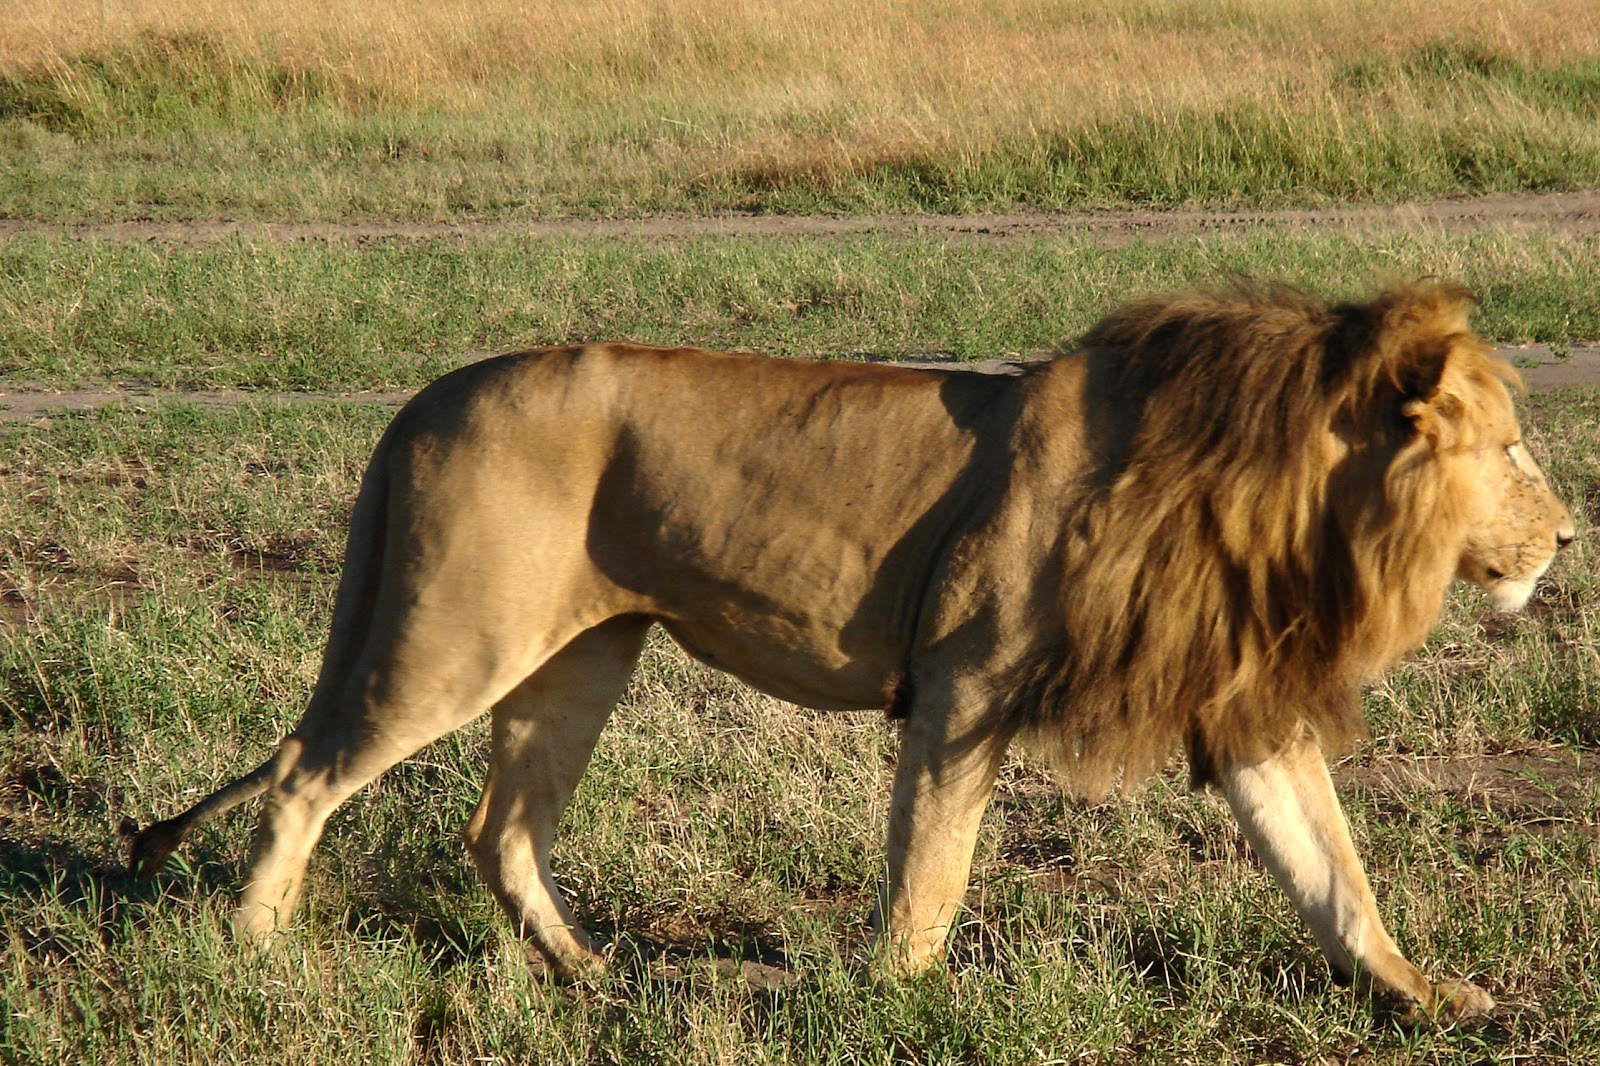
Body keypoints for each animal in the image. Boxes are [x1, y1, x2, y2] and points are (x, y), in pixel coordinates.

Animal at [130, 281, 1572, 1024]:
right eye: (1509, 448)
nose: (1567, 534)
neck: (1291, 501)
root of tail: (426, 395)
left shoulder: (1244, 709)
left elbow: (1332, 869)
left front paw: (1434, 997)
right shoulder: (963, 685)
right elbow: (931, 869)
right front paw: (899, 1002)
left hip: (578, 659)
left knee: (499, 828)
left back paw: (591, 973)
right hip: (454, 634)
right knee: (305, 775)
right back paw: (256, 949)